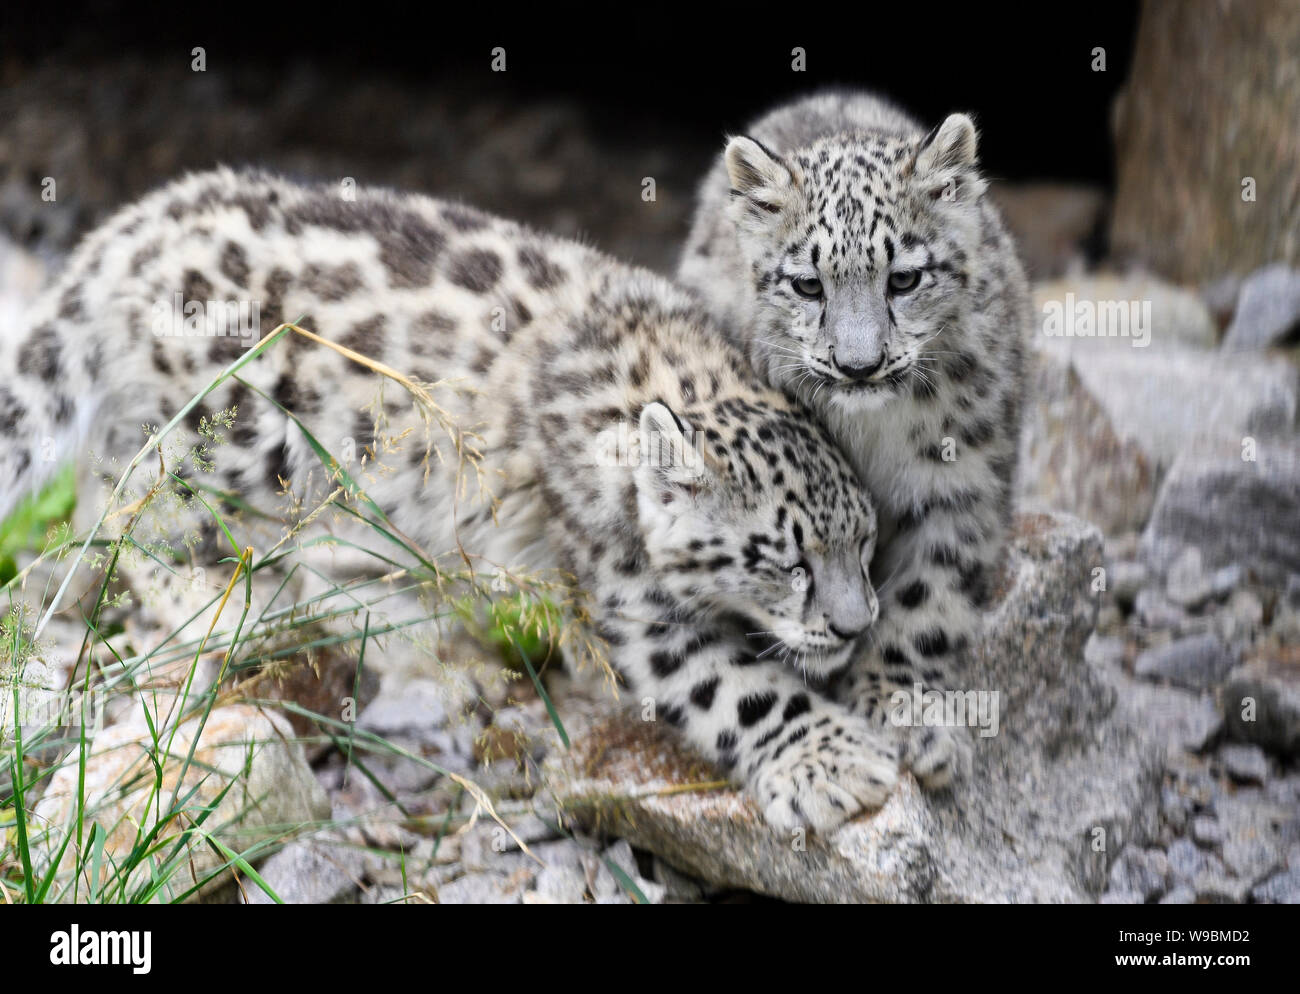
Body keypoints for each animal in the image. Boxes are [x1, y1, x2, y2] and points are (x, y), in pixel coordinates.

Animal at [1, 167, 899, 832]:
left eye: (864, 540)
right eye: (782, 558)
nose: (857, 626)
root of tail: (137, 223)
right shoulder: (631, 603)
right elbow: (735, 688)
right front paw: (837, 766)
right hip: (232, 432)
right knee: (134, 505)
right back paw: (226, 605)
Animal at [679, 90, 1030, 790]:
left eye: (904, 278)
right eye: (808, 284)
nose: (859, 365)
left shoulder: (964, 485)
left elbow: (925, 604)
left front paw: (903, 713)